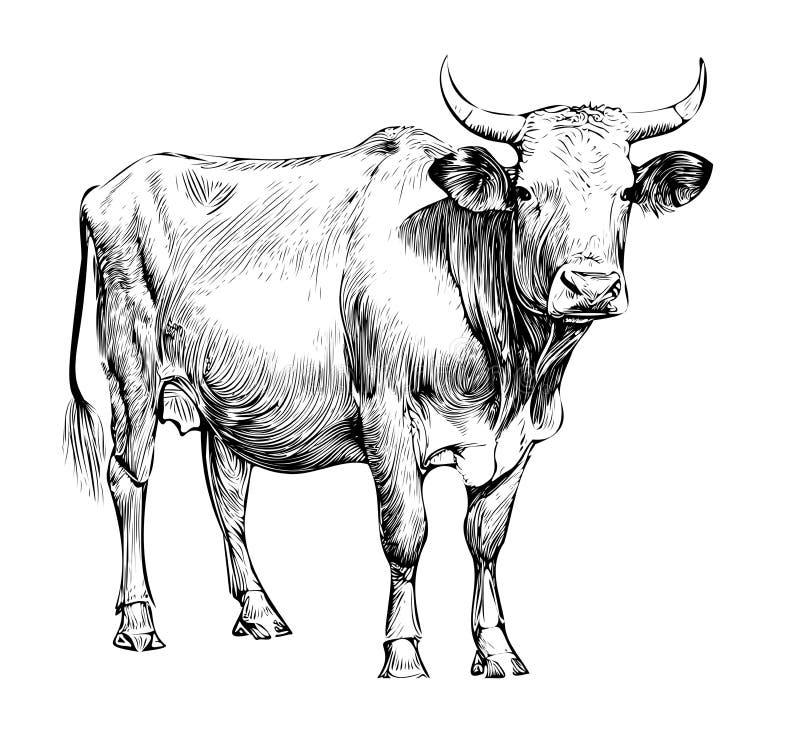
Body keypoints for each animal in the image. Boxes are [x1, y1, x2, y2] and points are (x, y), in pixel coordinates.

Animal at [64, 59, 711, 678]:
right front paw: (403, 654)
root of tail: (109, 186)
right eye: (526, 192)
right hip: (134, 378)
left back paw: (259, 613)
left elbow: (486, 540)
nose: (591, 286)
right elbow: (406, 536)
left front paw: (496, 649)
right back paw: (138, 622)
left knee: (228, 499)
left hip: (225, 403)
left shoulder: (517, 442)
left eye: (625, 193)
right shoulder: (388, 420)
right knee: (128, 480)